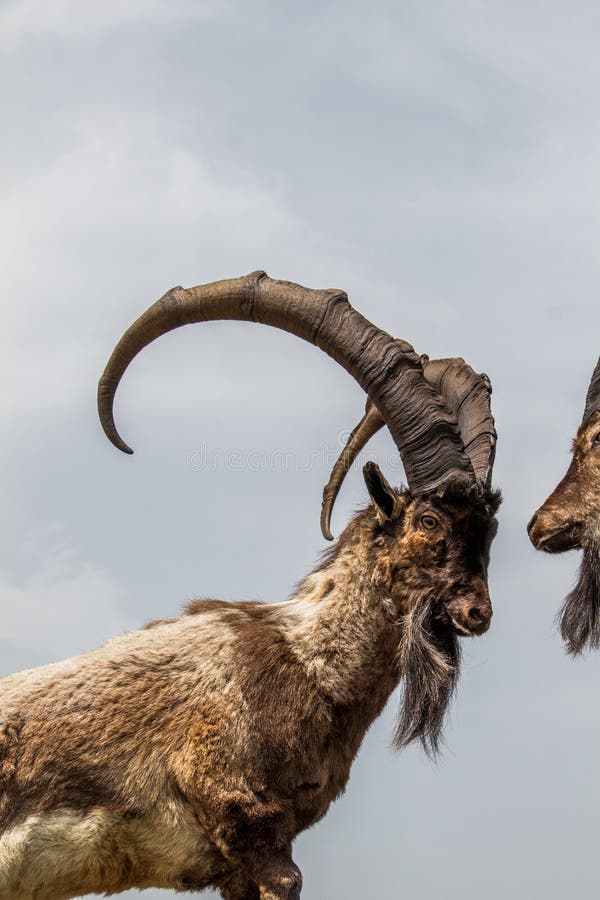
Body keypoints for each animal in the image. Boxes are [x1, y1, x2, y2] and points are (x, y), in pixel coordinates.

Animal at [0, 272, 500, 899]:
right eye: (429, 520)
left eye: (490, 528)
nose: (478, 613)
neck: (308, 661)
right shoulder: (255, 831)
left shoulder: (238, 864)